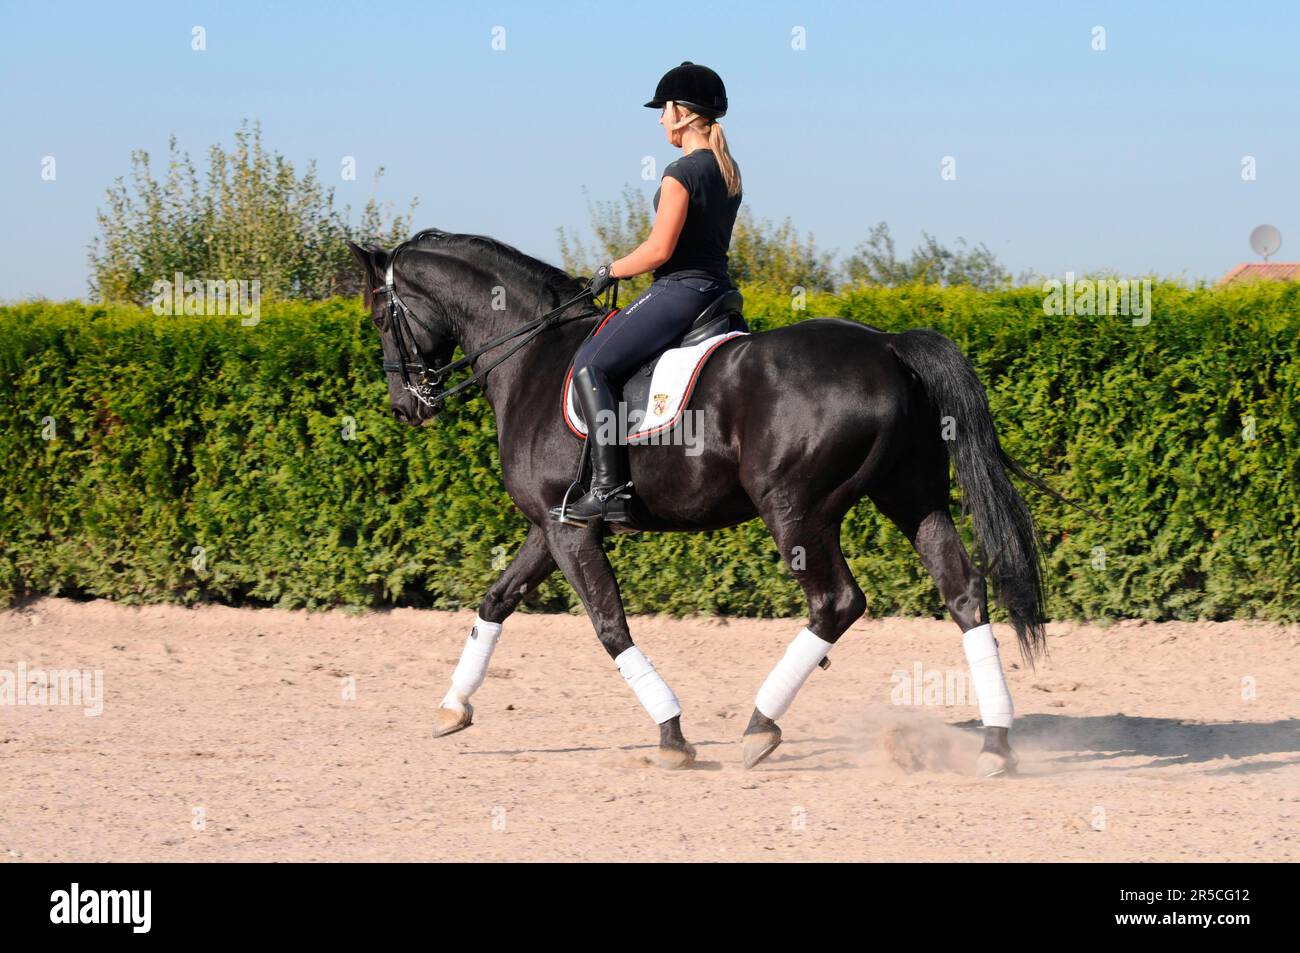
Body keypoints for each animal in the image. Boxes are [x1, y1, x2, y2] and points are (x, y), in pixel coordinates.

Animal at [348, 229, 1054, 776]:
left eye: (382, 319)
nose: (405, 408)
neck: (531, 358)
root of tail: (887, 347)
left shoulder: (570, 531)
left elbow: (610, 627)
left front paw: (672, 737)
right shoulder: (552, 525)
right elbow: (495, 600)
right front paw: (452, 707)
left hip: (794, 511)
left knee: (837, 603)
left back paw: (759, 727)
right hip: (911, 497)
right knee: (964, 592)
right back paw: (995, 745)